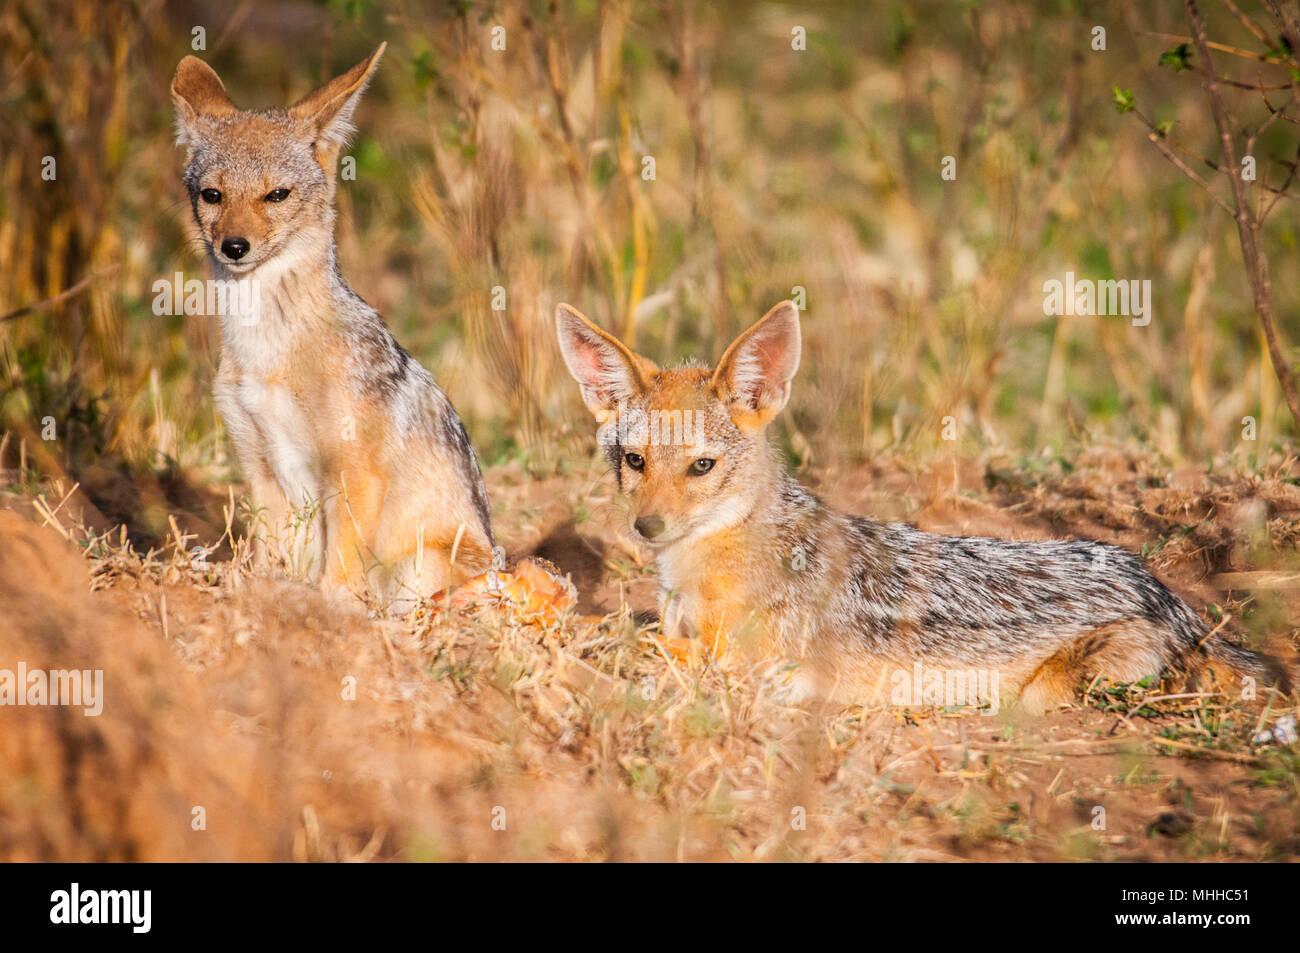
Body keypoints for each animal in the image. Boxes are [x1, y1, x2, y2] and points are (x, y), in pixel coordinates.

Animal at [171, 43, 494, 611]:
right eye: (212, 196)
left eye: (277, 195)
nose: (234, 247)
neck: (268, 349)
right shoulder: (258, 463)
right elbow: (269, 556)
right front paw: (266, 592)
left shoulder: (353, 470)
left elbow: (340, 569)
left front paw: (332, 610)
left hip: (419, 565)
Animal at [556, 300, 1295, 712]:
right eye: (634, 462)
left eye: (702, 466)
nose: (647, 525)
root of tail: (1164, 591)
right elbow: (633, 626)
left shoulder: (754, 666)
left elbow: (645, 645)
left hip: (1047, 695)